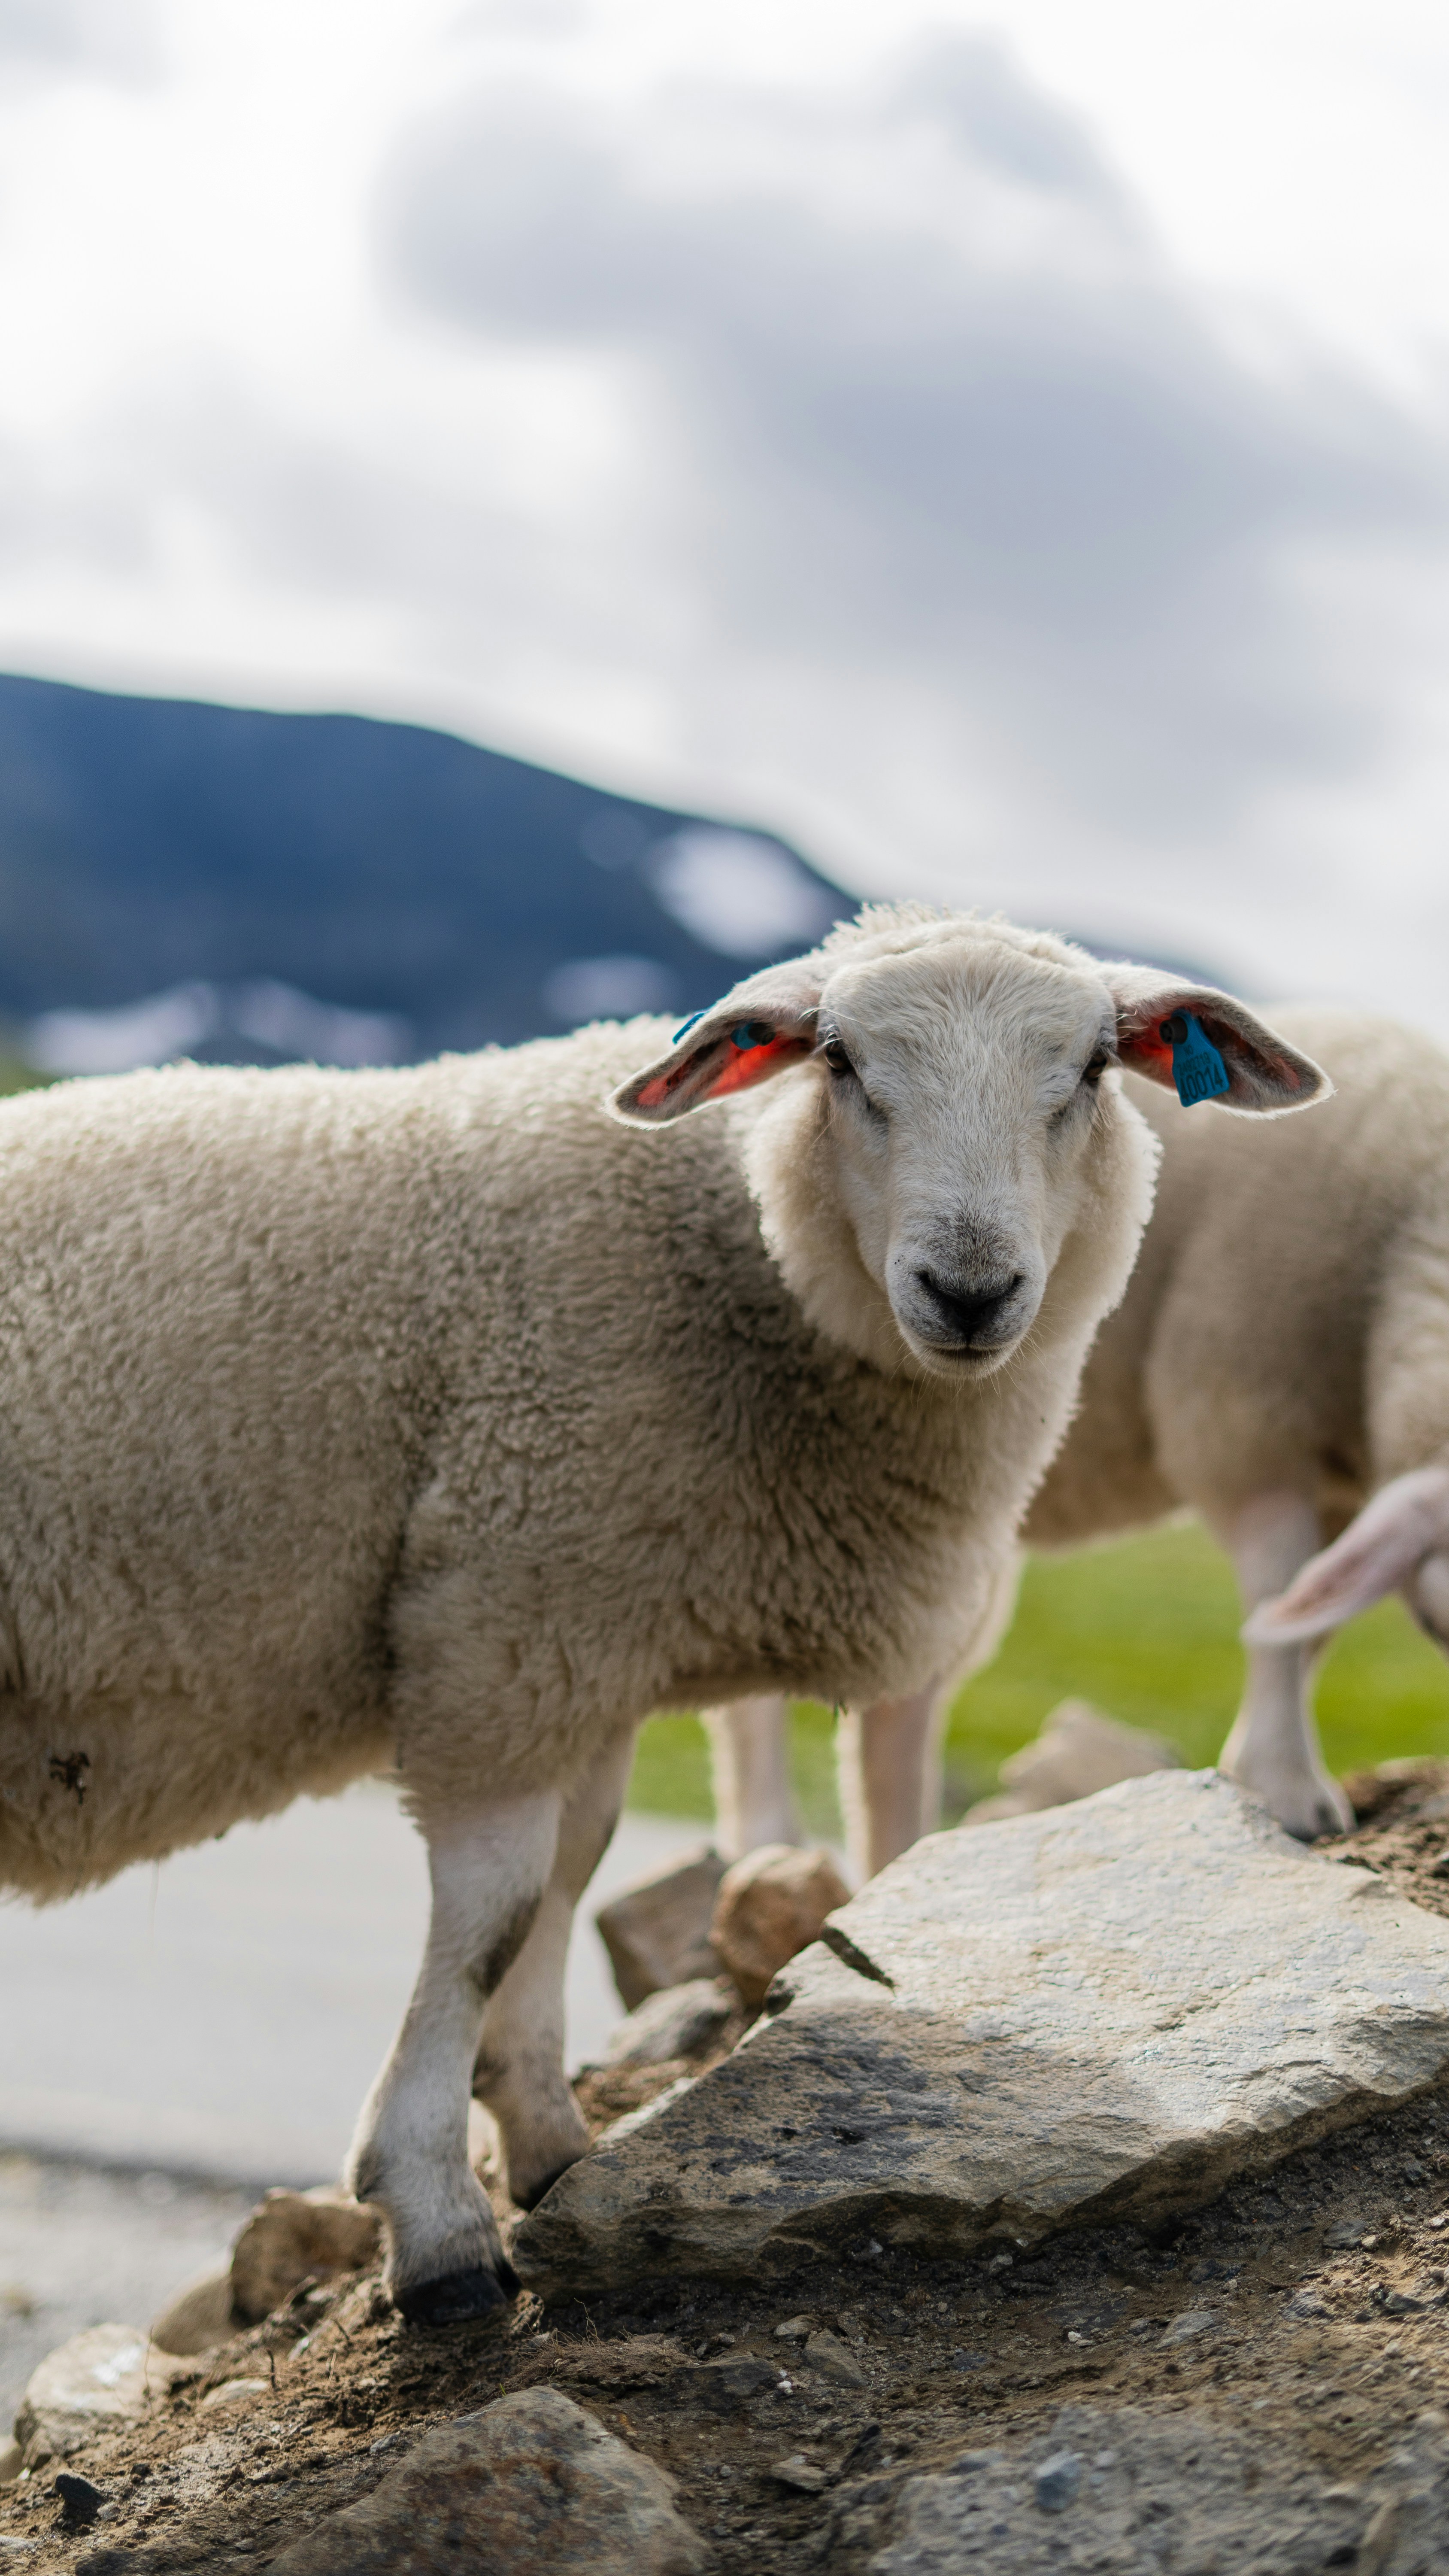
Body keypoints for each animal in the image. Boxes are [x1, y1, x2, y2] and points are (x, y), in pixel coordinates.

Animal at [0, 907, 1323, 2323]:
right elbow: (493, 1916)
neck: (735, 1260)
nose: (969, 1291)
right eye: (841, 1061)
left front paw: (544, 2143)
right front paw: (436, 2216)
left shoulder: (593, 1629)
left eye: (1087, 1069)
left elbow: (573, 1871)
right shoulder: (506, 1615)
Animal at [710, 1003, 1446, 1874]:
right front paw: (1284, 1788)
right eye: (1441, 1627)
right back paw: (769, 1844)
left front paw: (1264, 1764)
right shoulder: (1244, 1417)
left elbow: (1310, 1622)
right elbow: (1276, 1595)